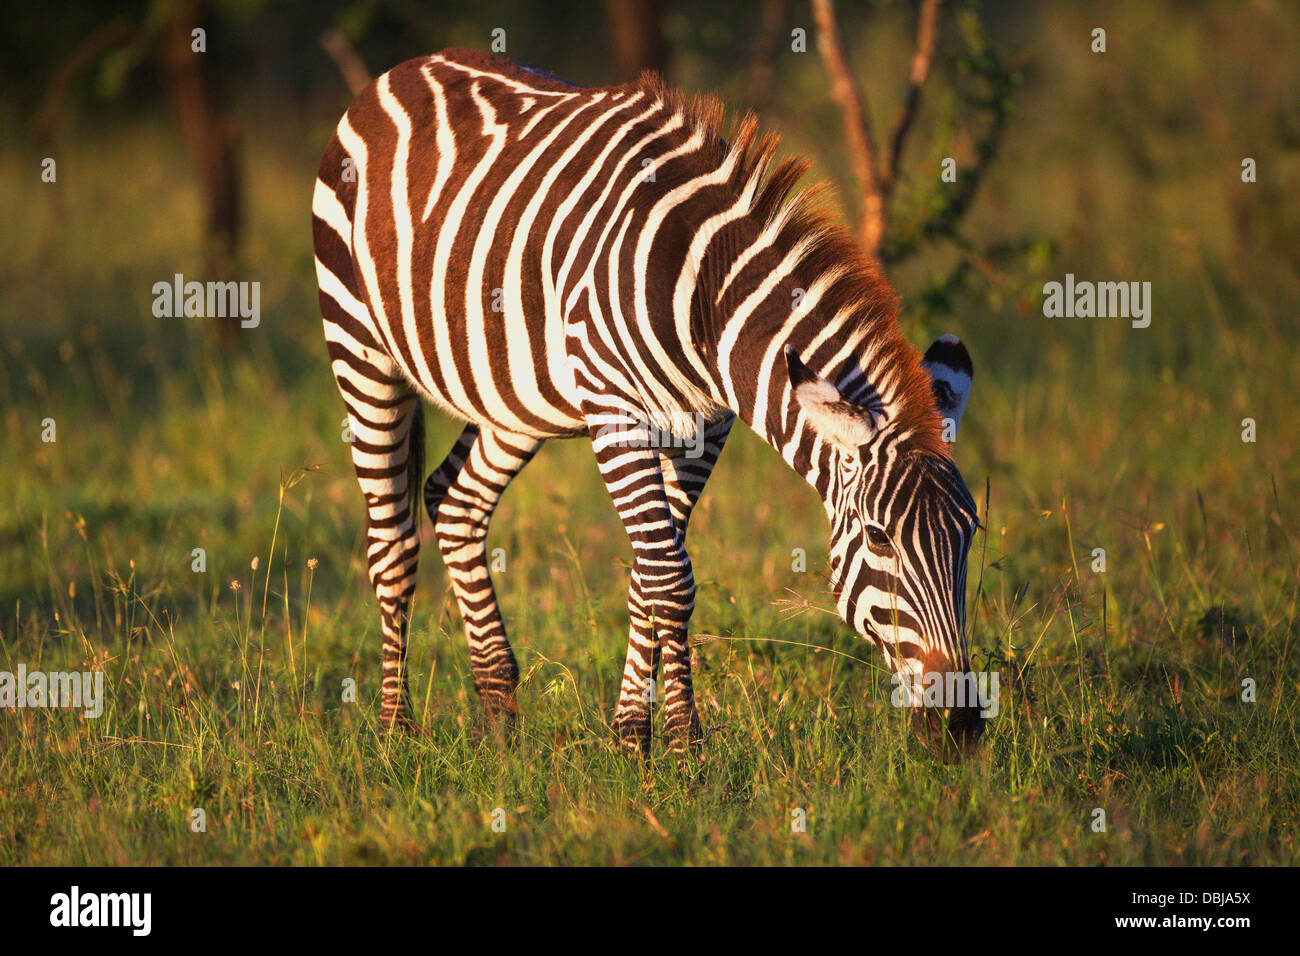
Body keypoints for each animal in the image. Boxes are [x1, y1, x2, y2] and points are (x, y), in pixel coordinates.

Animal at [312, 48, 984, 759]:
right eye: (881, 538)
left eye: (971, 534)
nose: (960, 725)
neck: (704, 298)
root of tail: (409, 68)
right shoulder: (616, 413)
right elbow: (669, 579)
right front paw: (684, 746)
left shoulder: (703, 427)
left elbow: (649, 577)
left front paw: (632, 735)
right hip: (360, 346)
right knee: (391, 544)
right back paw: (395, 731)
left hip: (515, 397)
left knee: (454, 499)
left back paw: (498, 715)